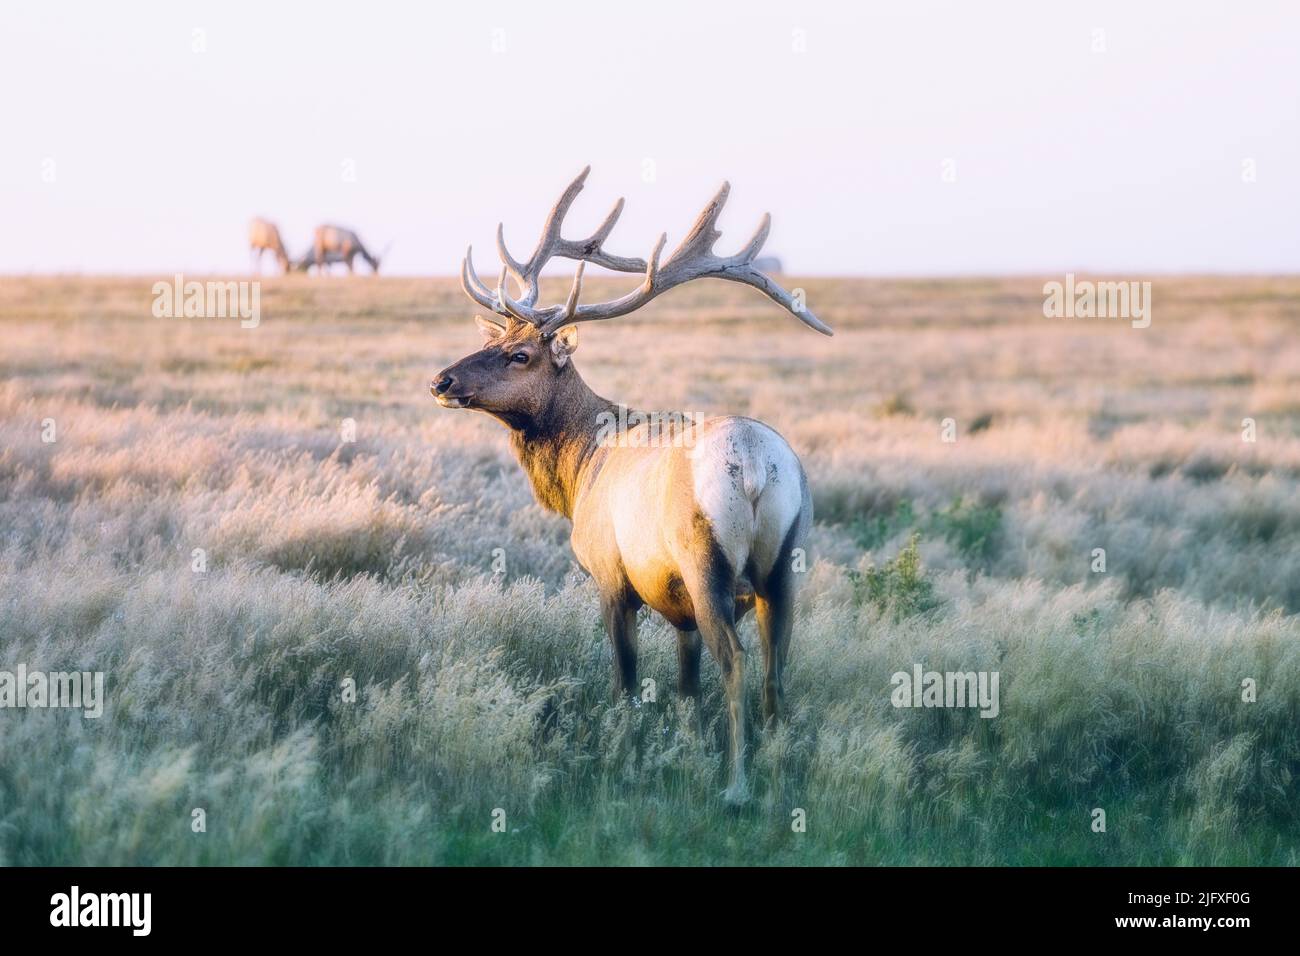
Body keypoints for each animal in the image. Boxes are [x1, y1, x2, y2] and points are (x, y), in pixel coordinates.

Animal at [432, 168, 832, 803]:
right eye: (493, 342)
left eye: (520, 355)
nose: (442, 380)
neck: (579, 470)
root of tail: (756, 465)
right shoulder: (678, 606)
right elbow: (686, 688)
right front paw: (687, 751)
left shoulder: (611, 575)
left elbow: (625, 680)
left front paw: (620, 757)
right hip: (784, 561)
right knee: (777, 666)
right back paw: (776, 765)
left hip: (705, 560)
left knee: (737, 661)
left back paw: (737, 784)